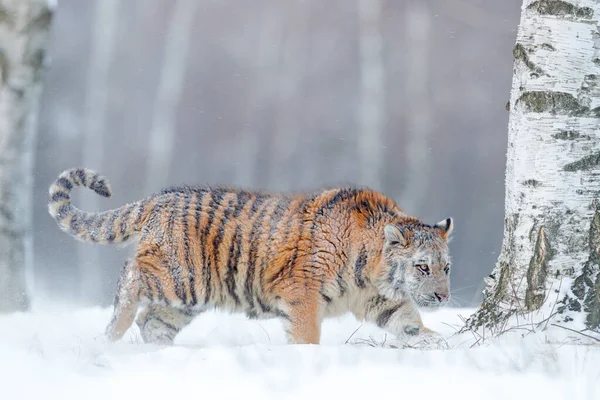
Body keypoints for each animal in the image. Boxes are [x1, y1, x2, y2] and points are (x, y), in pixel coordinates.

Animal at [49, 167, 452, 346]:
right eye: (422, 267)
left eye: (446, 267)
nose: (443, 296)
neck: (370, 272)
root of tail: (157, 198)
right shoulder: (302, 293)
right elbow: (307, 333)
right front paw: (307, 356)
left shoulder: (380, 300)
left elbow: (409, 322)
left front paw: (437, 344)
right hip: (178, 278)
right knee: (131, 278)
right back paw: (112, 333)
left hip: (187, 299)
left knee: (152, 320)